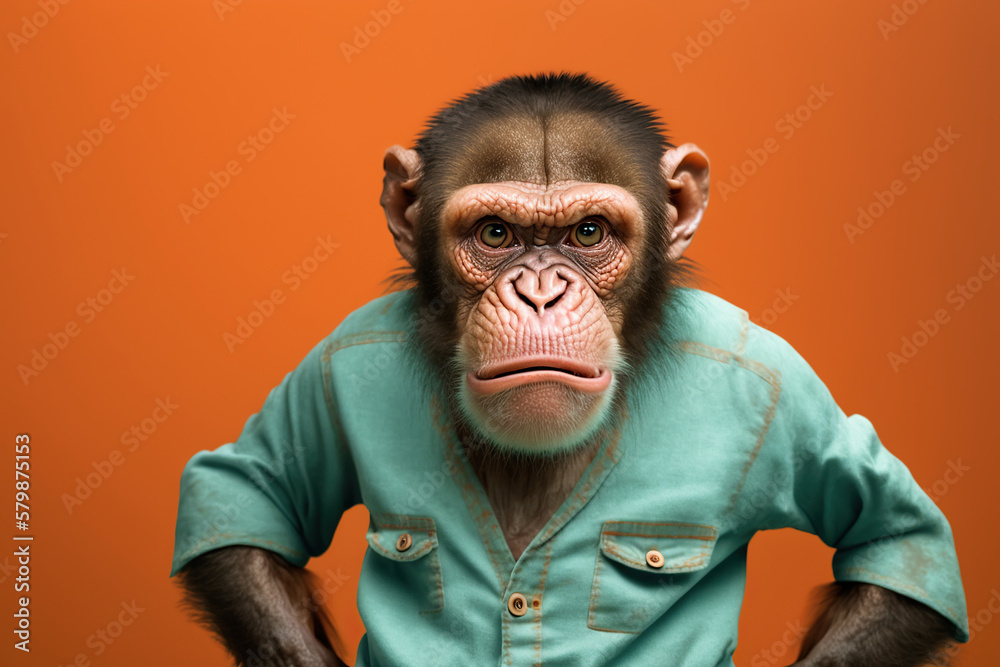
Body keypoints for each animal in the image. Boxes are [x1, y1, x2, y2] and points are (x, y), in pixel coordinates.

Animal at [172, 73, 968, 666]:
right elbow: (243, 496)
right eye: (496, 234)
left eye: (588, 233)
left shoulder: (775, 375)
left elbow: (898, 539)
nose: (540, 291)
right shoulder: (341, 352)